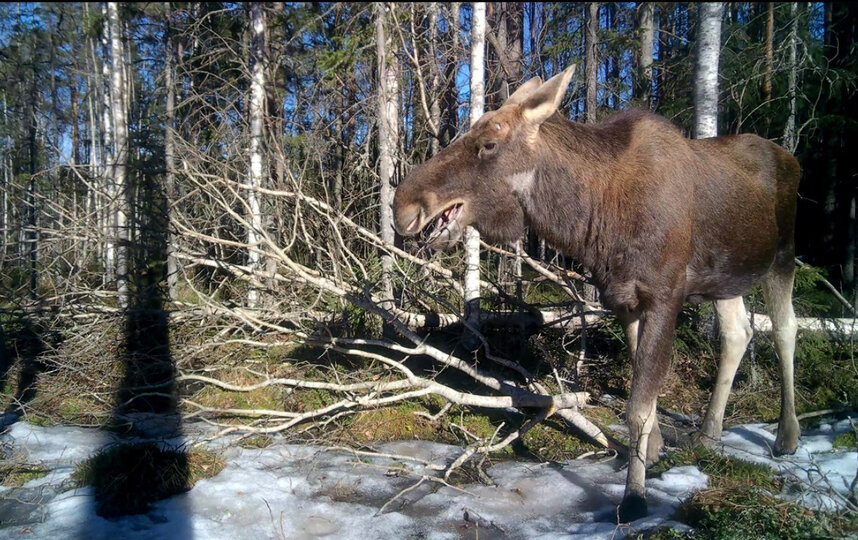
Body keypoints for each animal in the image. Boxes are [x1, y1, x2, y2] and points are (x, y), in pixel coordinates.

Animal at [392, 65, 802, 522]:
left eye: (488, 144)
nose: (401, 203)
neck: (593, 219)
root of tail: (791, 158)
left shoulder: (664, 294)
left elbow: (638, 406)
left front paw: (635, 496)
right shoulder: (623, 299)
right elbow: (645, 397)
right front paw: (651, 454)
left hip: (782, 255)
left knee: (786, 329)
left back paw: (787, 436)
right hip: (725, 277)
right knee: (738, 333)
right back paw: (710, 433)